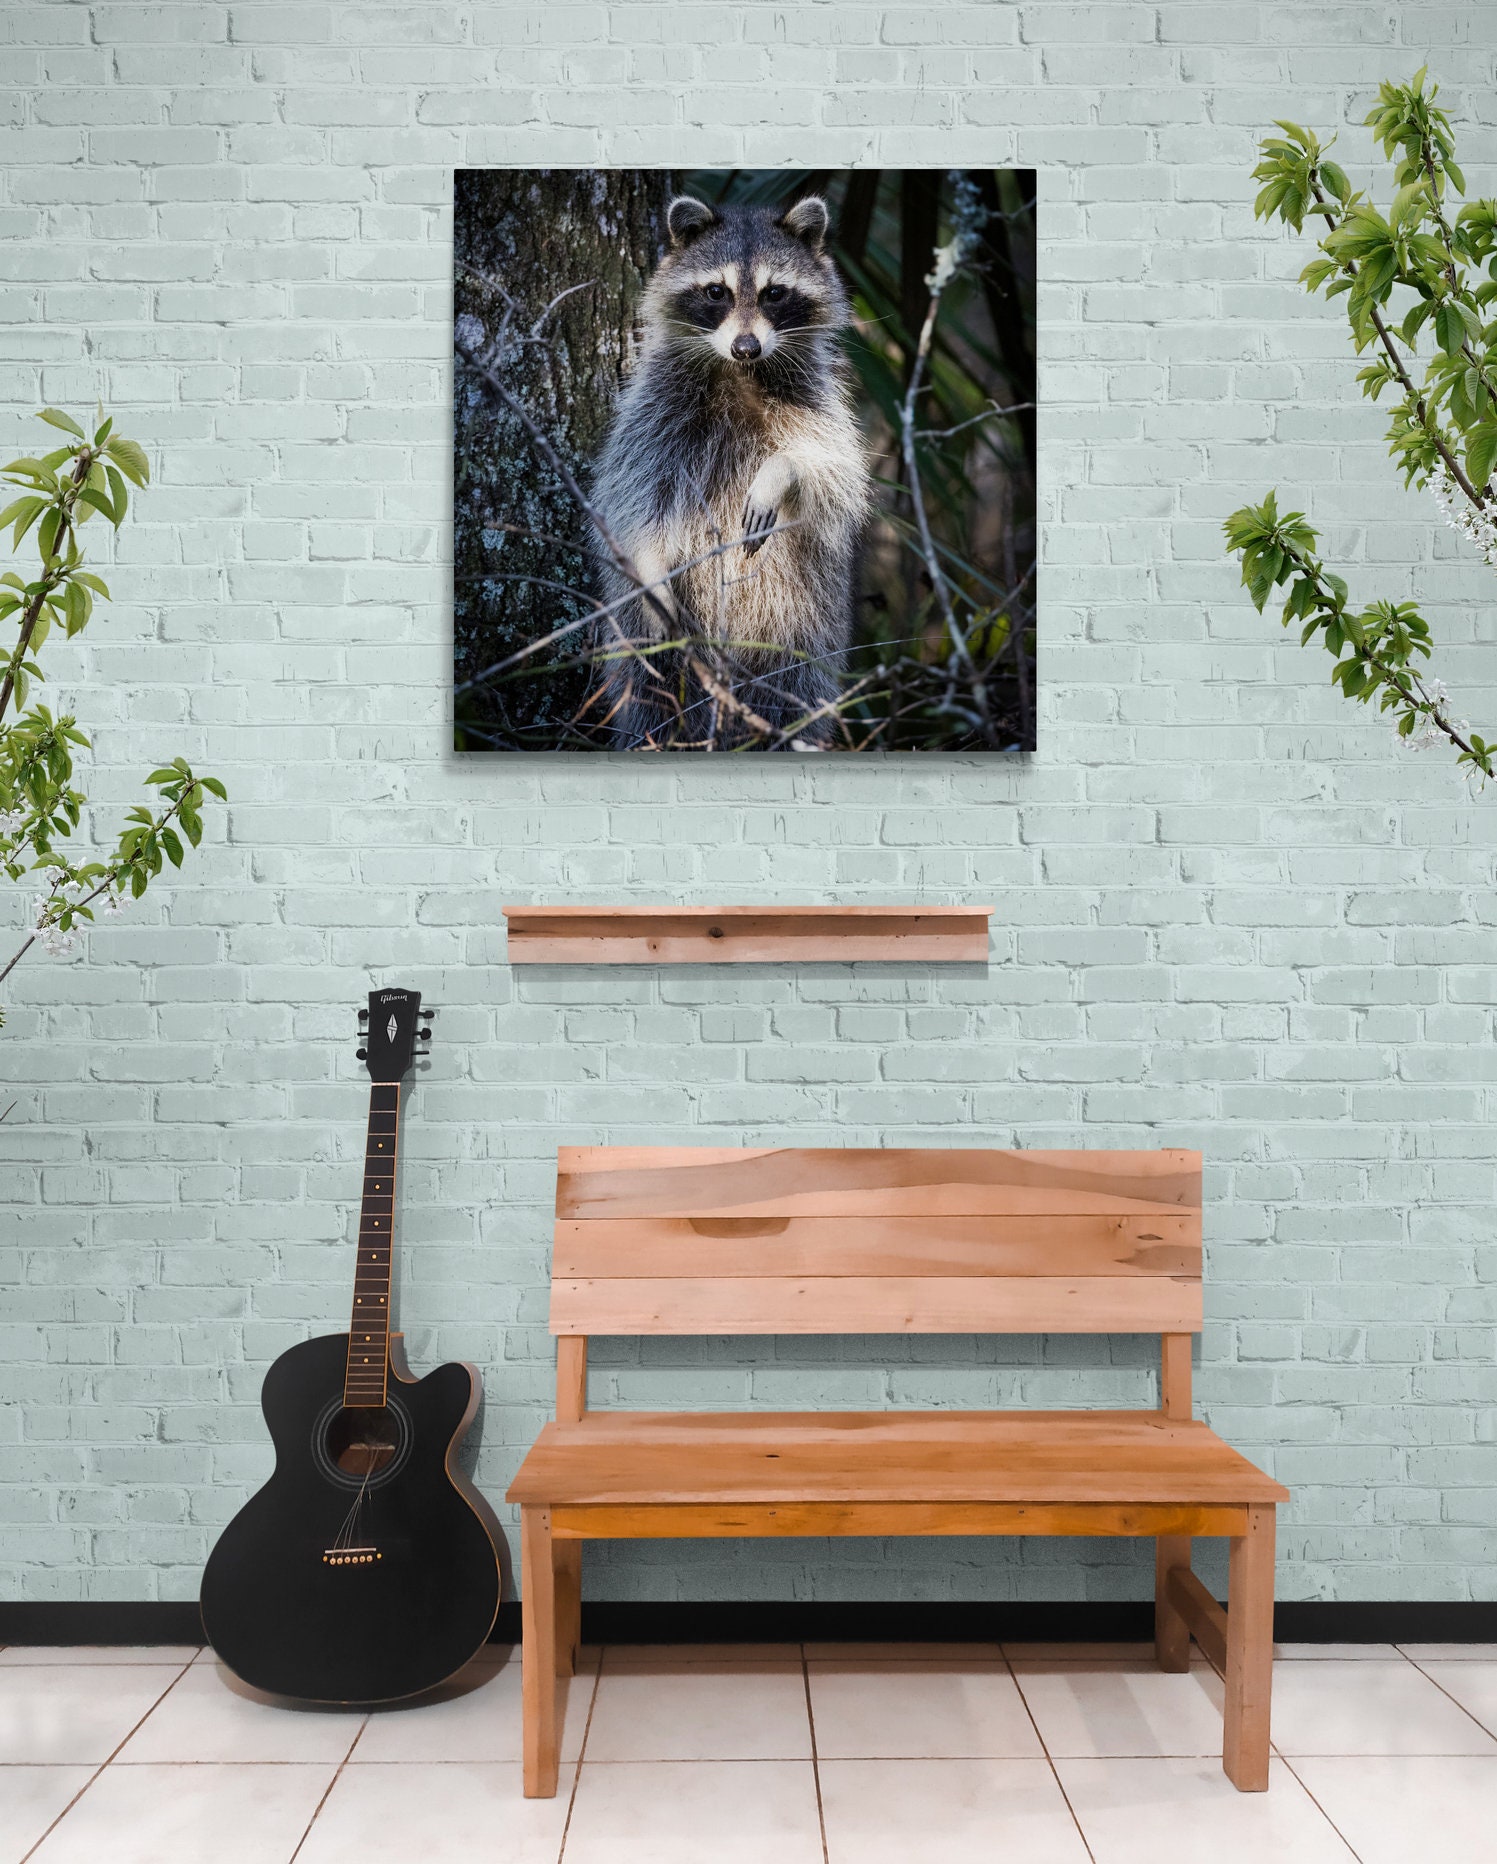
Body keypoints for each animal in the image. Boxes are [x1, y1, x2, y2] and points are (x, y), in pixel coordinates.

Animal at [589, 193, 870, 750]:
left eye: (774, 293)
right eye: (716, 292)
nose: (746, 346)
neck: (740, 371)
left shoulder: (818, 406)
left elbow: (834, 476)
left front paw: (780, 471)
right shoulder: (655, 409)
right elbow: (633, 496)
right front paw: (650, 571)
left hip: (803, 622)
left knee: (797, 684)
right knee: (646, 688)